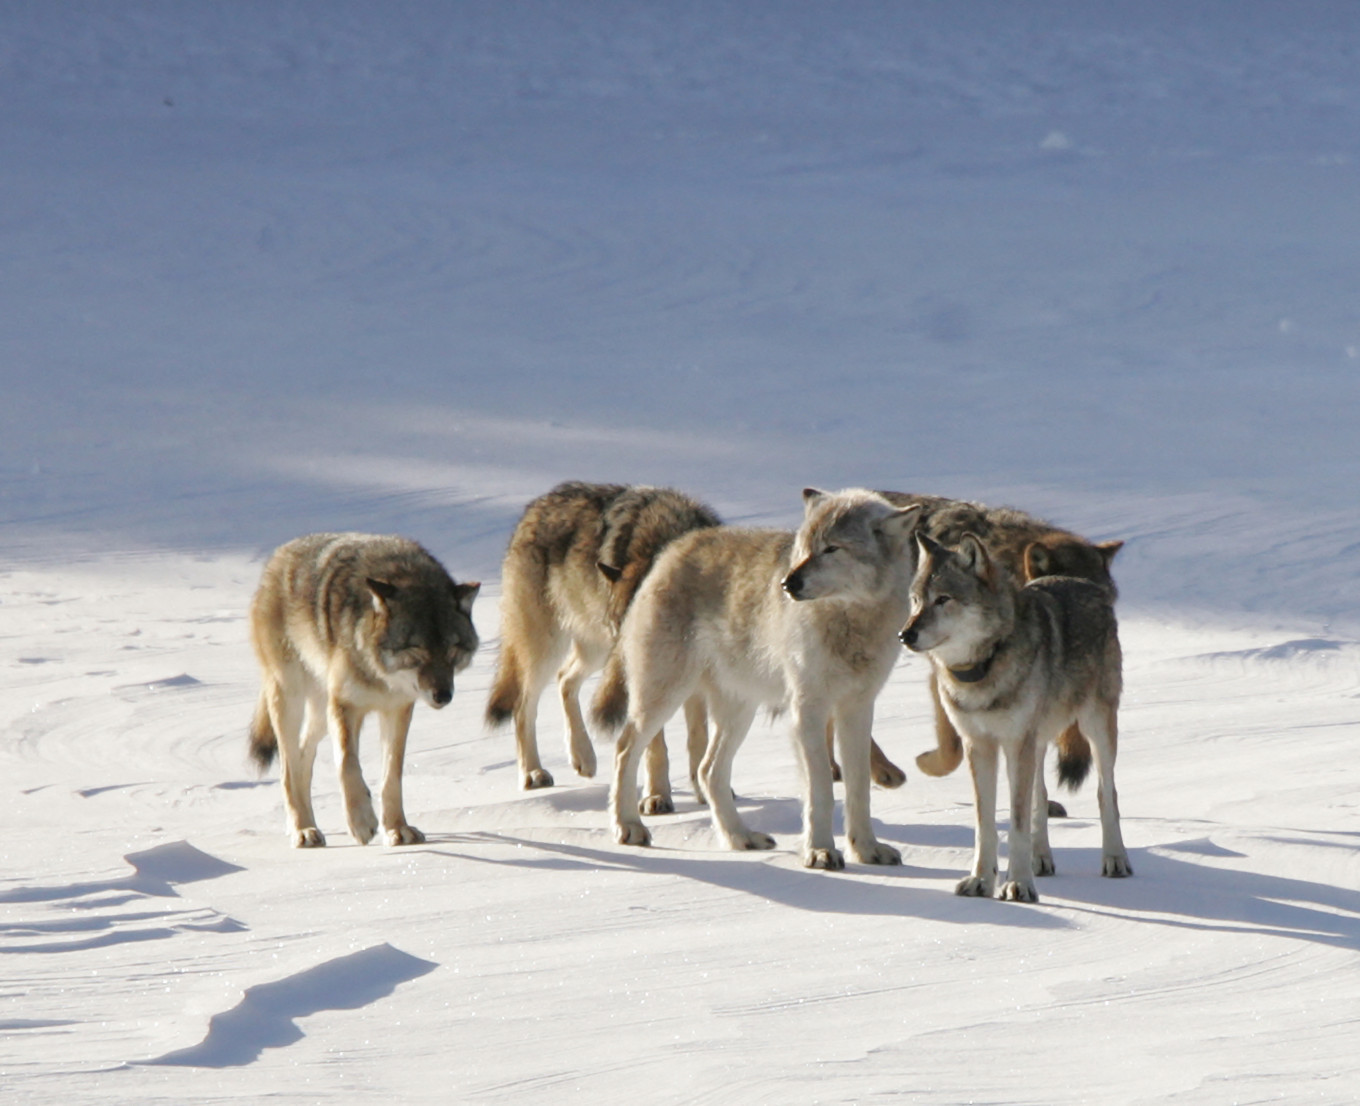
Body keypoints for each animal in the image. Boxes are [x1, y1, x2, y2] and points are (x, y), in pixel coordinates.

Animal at [248, 533, 480, 848]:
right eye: (416, 649)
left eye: (451, 650)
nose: (443, 696)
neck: (380, 675)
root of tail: (279, 555)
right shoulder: (345, 706)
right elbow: (347, 764)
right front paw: (361, 822)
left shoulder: (397, 709)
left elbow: (391, 775)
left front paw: (397, 829)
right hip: (290, 699)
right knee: (287, 769)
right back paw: (302, 830)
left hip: (320, 712)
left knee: (303, 754)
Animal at [592, 489, 921, 870]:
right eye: (803, 548)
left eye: (832, 548)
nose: (788, 583)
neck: (850, 620)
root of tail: (671, 550)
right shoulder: (808, 711)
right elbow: (821, 790)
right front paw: (820, 851)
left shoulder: (858, 709)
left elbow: (859, 790)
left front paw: (867, 849)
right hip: (664, 698)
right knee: (624, 749)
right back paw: (628, 827)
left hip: (739, 711)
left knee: (707, 771)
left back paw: (740, 837)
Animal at [900, 530, 1130, 902]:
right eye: (916, 600)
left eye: (943, 599)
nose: (905, 635)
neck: (983, 667)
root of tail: (1082, 581)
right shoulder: (979, 745)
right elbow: (986, 824)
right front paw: (981, 880)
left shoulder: (1015, 743)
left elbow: (1017, 823)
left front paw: (1018, 884)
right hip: (1036, 743)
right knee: (1040, 796)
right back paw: (1042, 860)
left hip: (1096, 728)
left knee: (1106, 793)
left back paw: (1115, 859)